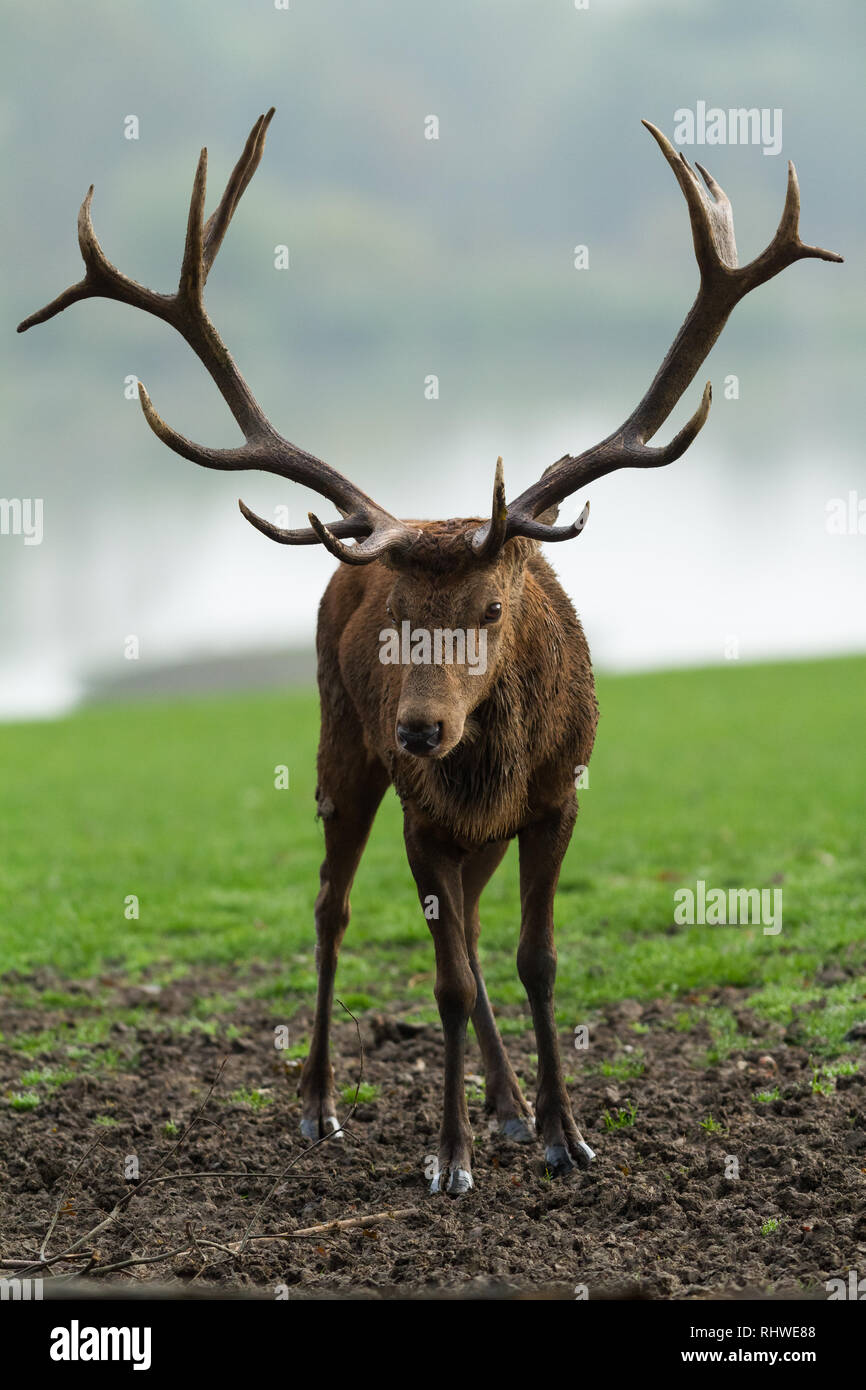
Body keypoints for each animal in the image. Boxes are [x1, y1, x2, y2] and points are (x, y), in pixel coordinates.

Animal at [18, 109, 841, 1195]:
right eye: (393, 615)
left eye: (493, 606)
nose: (417, 727)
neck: (491, 768)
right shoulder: (424, 819)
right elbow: (443, 983)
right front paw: (447, 1156)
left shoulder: (559, 797)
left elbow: (535, 959)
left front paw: (563, 1131)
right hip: (340, 749)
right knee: (331, 907)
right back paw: (321, 1102)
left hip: (468, 826)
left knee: (479, 933)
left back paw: (511, 1106)